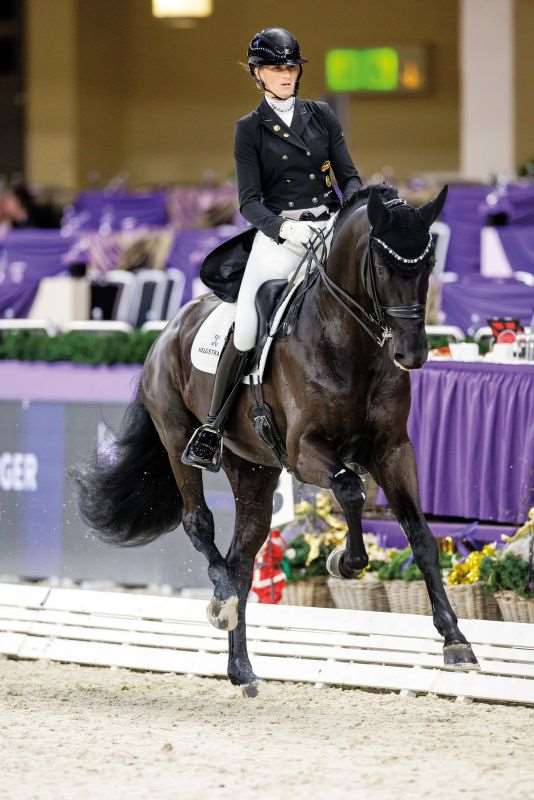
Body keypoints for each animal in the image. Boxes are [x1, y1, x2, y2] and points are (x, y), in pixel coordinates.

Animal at [74, 184, 479, 697]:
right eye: (384, 267)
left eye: (427, 266)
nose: (413, 354)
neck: (348, 342)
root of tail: (170, 326)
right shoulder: (306, 451)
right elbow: (351, 489)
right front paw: (344, 563)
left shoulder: (392, 450)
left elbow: (421, 535)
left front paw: (456, 641)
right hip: (178, 438)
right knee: (199, 524)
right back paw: (221, 601)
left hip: (253, 470)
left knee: (242, 559)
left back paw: (242, 669)